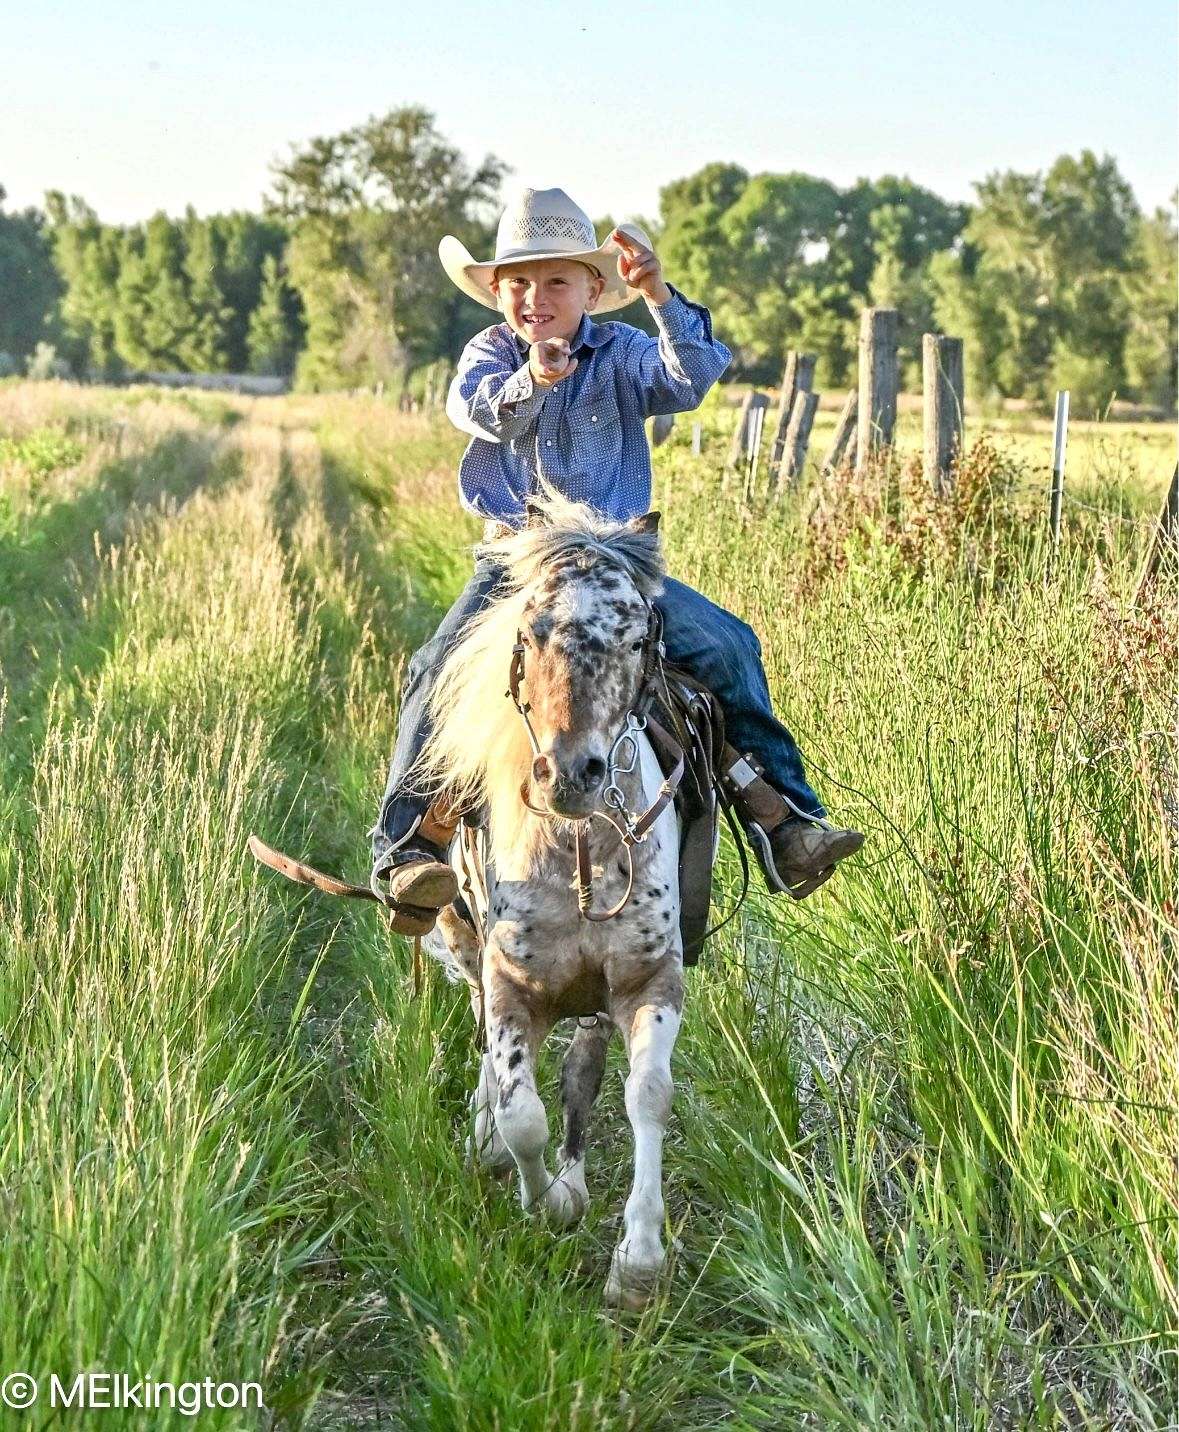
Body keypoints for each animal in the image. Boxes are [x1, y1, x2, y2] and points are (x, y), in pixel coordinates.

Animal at [413, 496, 688, 1310]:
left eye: (636, 638)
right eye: (530, 631)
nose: (570, 774)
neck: (577, 850)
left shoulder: (646, 981)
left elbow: (642, 1096)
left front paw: (637, 1263)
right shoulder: (511, 984)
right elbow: (519, 1114)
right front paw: (539, 1200)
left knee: (581, 1075)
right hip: (464, 942)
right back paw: (486, 1144)